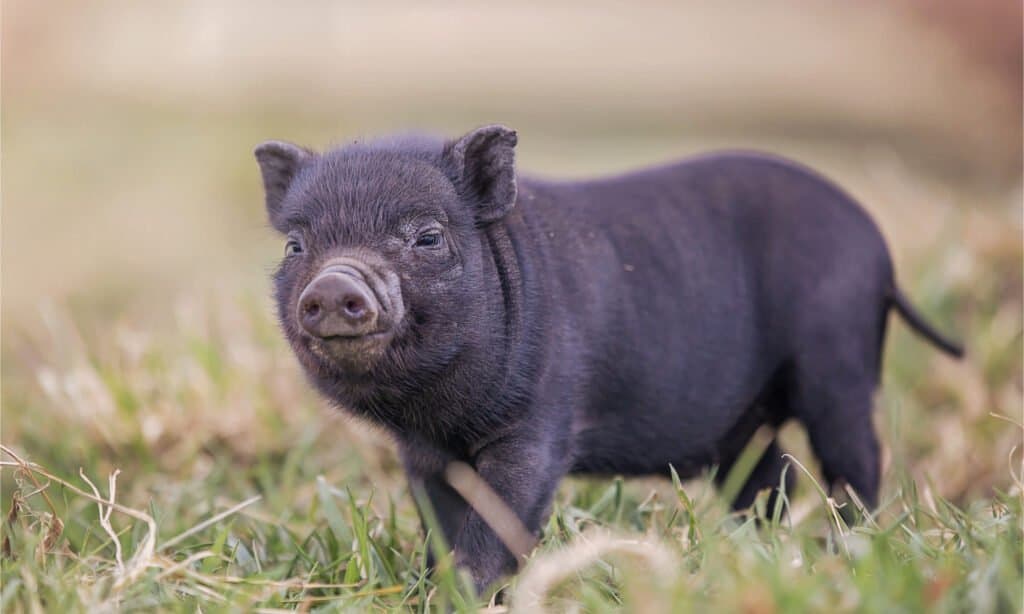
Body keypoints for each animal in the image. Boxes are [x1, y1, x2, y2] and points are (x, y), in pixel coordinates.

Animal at [254, 125, 963, 592]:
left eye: (427, 237)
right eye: (295, 245)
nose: (333, 285)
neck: (439, 411)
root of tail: (879, 251)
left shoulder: (540, 422)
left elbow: (503, 515)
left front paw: (472, 593)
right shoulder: (425, 453)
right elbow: (441, 521)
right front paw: (432, 589)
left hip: (838, 357)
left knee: (854, 458)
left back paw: (846, 547)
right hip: (743, 419)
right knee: (773, 474)